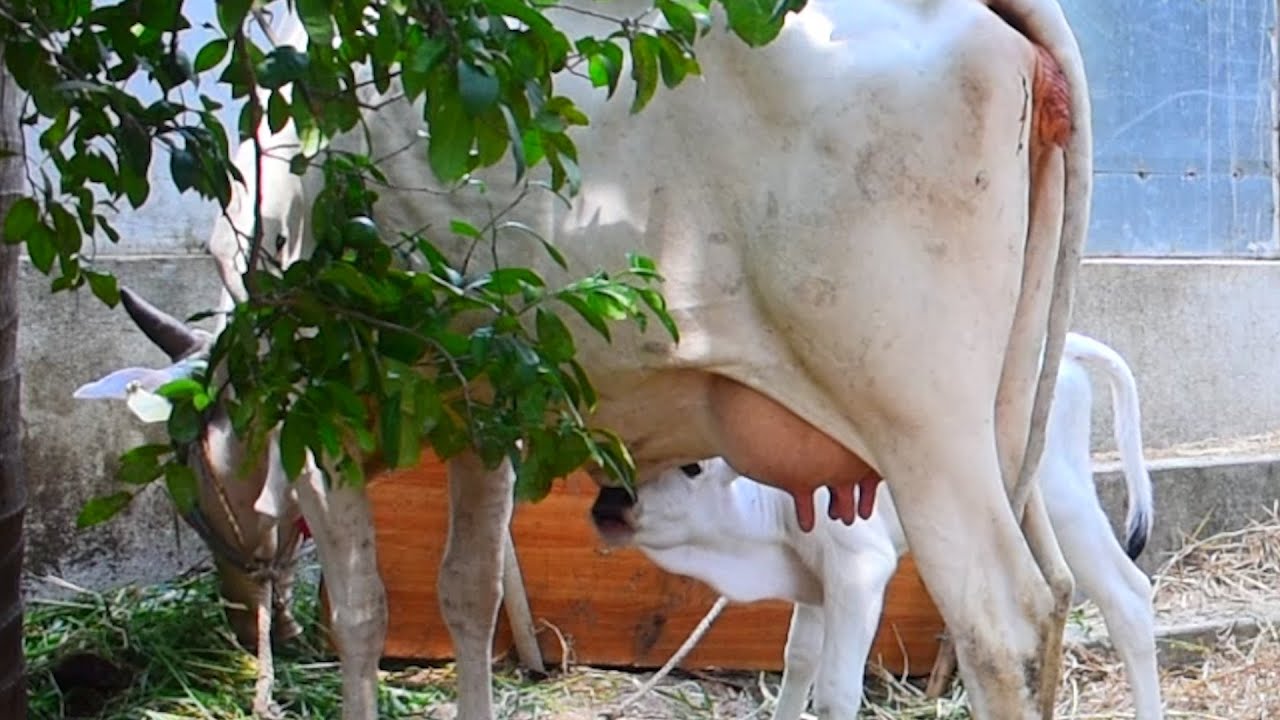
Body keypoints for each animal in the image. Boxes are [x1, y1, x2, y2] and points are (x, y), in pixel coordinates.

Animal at [76, 0, 1094, 717]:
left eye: (186, 492)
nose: (241, 615)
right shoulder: (483, 416)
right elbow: (469, 593)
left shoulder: (322, 409)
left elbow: (364, 609)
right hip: (1004, 424)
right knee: (1054, 602)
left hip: (919, 423)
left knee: (1003, 624)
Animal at [591, 331, 1163, 719]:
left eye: (692, 467)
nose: (609, 502)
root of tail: (1065, 347)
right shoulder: (814, 581)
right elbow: (797, 660)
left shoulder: (859, 566)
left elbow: (836, 692)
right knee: (1061, 587)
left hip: (1064, 495)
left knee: (1127, 594)